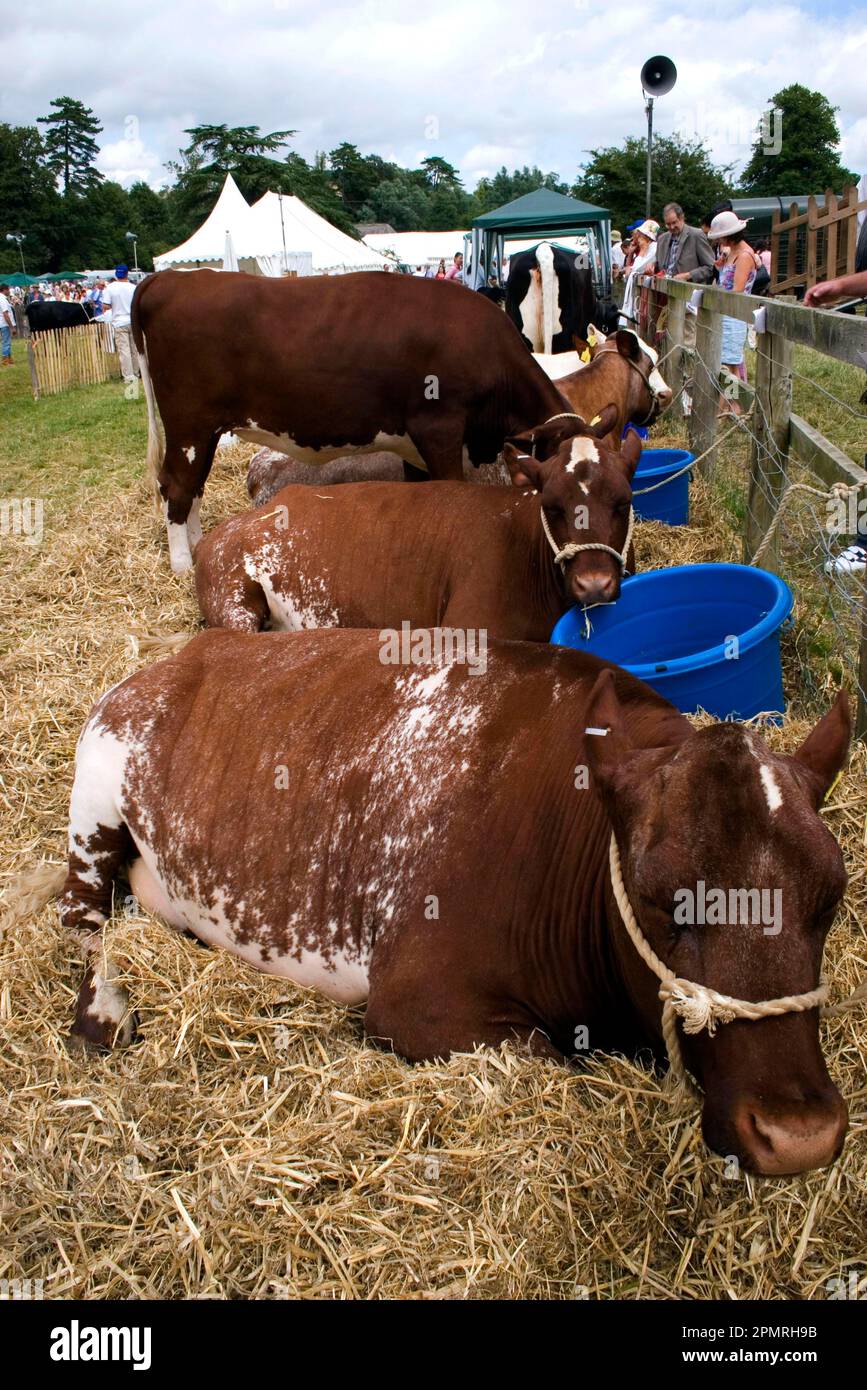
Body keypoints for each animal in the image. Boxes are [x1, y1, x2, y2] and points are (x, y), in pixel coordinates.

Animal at [59, 628, 852, 1175]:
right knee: (81, 917)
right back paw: (105, 1013)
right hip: (93, 796)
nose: (798, 1135)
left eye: (832, 897)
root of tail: (191, 650)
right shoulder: (419, 1003)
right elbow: (546, 1061)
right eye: (662, 901)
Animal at [131, 270, 574, 574]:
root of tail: (171, 276)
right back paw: (183, 564)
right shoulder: (440, 429)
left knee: (192, 488)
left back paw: (199, 548)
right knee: (176, 486)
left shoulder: (414, 446)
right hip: (190, 425)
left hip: (204, 433)